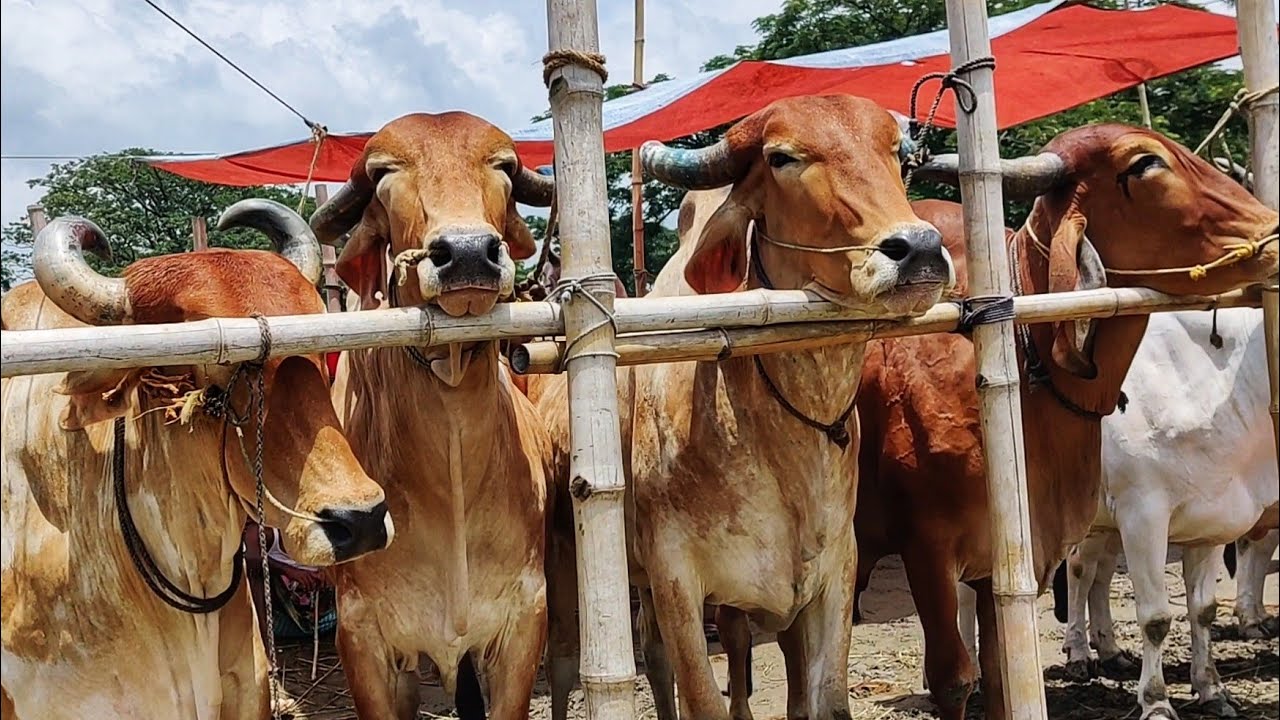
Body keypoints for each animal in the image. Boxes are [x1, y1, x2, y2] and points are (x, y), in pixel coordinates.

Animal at [1054, 305, 1277, 718]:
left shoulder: (1211, 518)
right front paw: (1156, 700)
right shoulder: (1143, 514)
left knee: (1092, 572)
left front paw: (1211, 689)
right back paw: (1074, 654)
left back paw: (1107, 651)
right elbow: (1155, 618)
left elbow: (1203, 610)